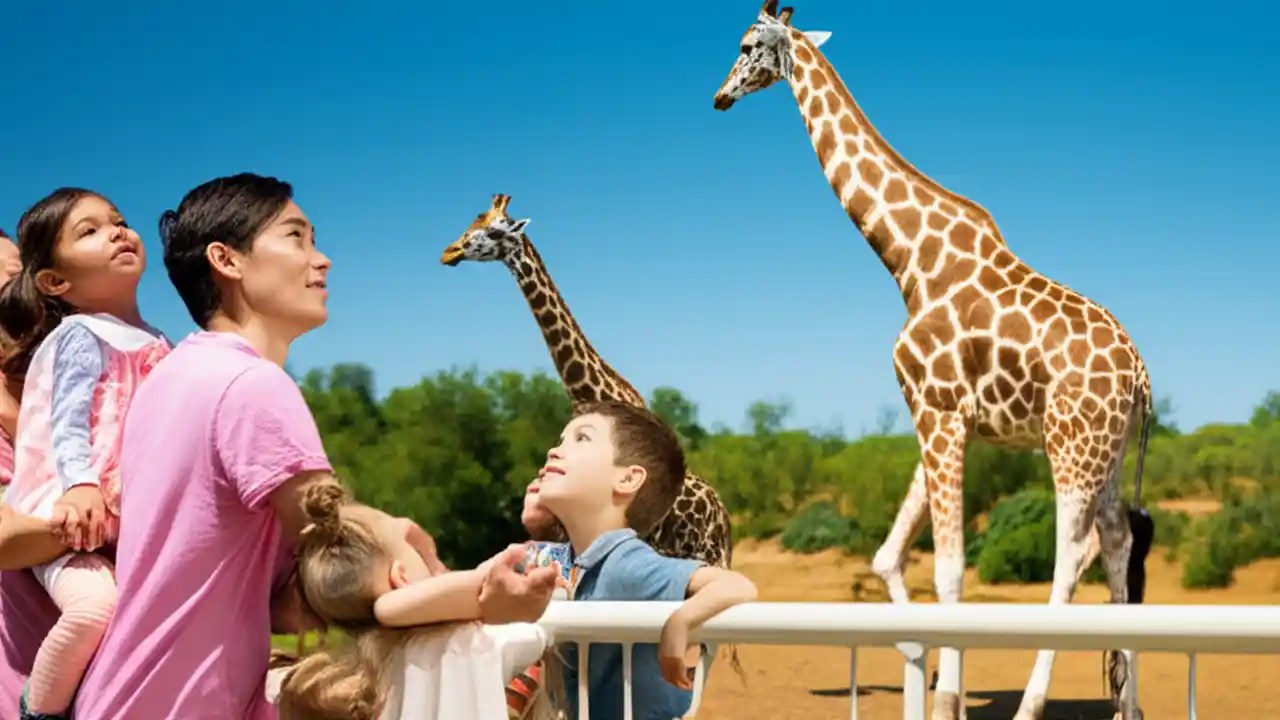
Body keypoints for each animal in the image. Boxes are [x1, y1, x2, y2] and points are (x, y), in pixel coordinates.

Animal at [440, 193, 734, 571]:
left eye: (493, 231)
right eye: (470, 223)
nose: (449, 252)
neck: (589, 394)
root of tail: (724, 519)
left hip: (709, 556)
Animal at [712, 3, 1154, 719]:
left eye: (748, 44)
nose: (720, 96)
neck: (909, 262)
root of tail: (1142, 374)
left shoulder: (939, 410)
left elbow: (948, 569)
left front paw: (946, 695)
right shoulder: (941, 417)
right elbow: (889, 557)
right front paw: (925, 669)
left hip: (1070, 446)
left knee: (1072, 554)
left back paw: (1032, 705)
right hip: (1106, 453)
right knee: (1116, 543)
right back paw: (1127, 705)